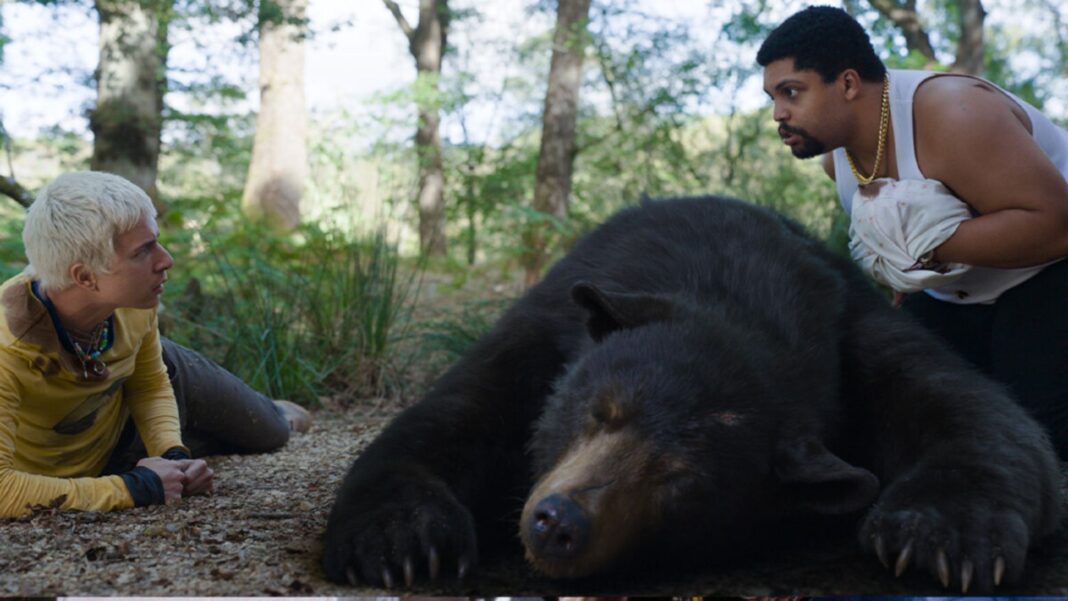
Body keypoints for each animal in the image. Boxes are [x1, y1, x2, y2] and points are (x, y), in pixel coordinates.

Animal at [322, 196, 1062, 593]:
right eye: (600, 412)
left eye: (680, 479)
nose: (559, 521)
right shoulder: (548, 324)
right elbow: (452, 416)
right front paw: (405, 538)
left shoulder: (854, 326)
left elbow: (980, 416)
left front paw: (942, 536)